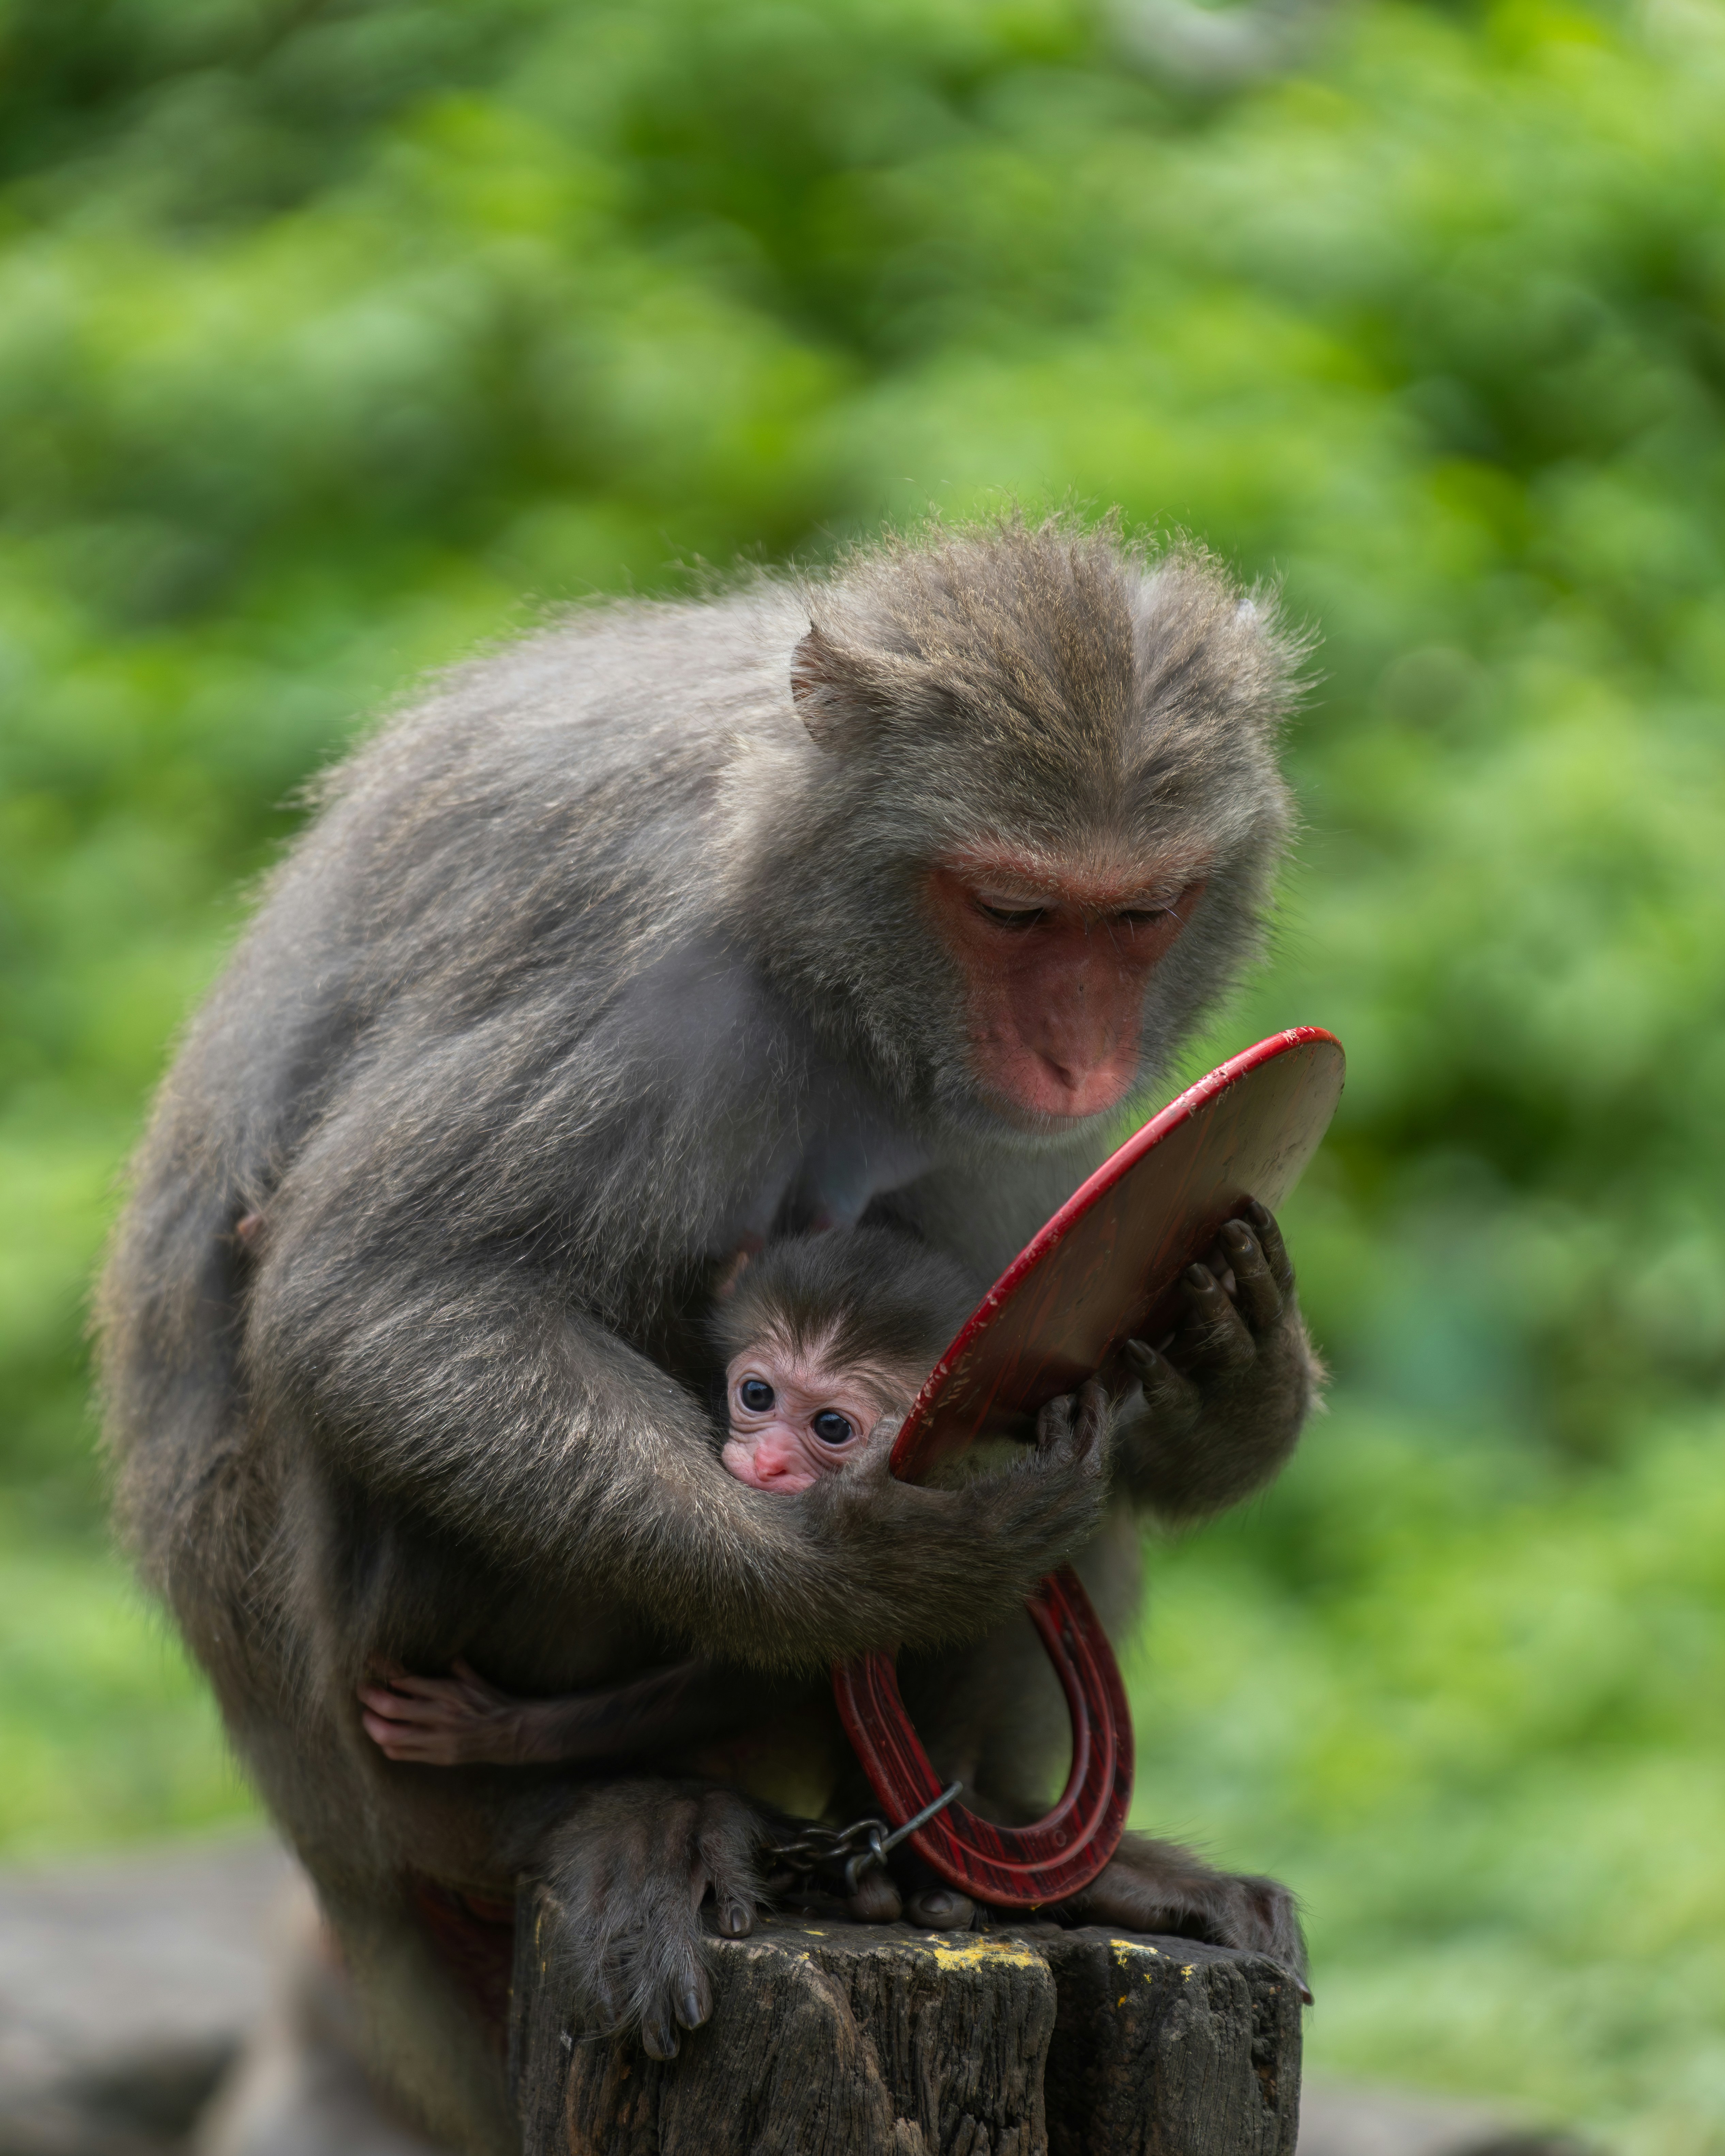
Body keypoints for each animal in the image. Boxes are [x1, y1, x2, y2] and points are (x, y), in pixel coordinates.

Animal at [98, 515, 1320, 2150]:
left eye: (1142, 913)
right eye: (1011, 910)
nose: (1079, 1058)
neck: (799, 898)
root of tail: (323, 1833)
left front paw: (1237, 1355)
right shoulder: (651, 980)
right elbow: (381, 1294)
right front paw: (866, 1573)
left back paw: (990, 1837)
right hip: (366, 1724)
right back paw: (596, 1800)